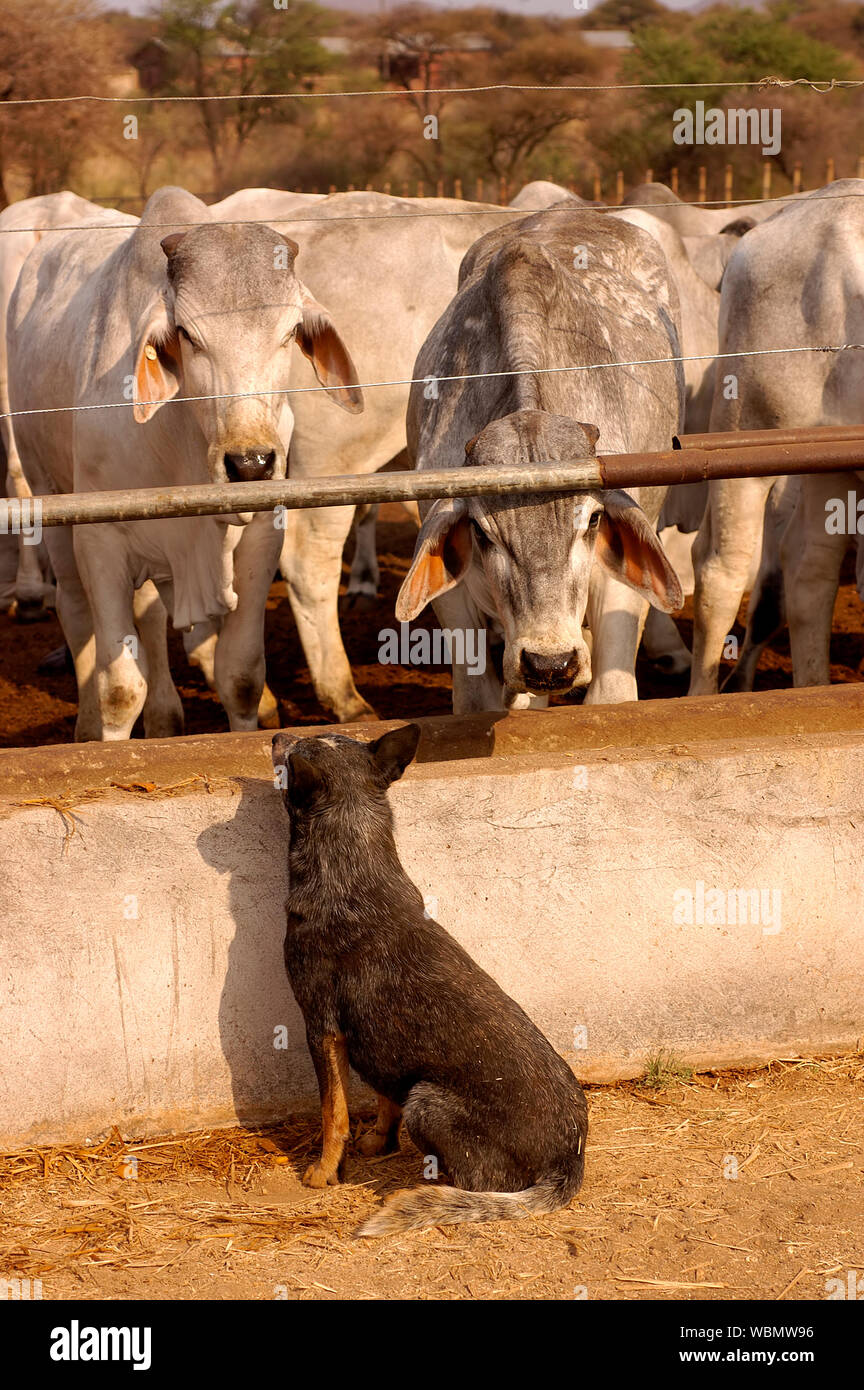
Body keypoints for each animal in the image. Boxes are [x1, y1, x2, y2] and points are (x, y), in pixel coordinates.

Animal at [8, 185, 361, 741]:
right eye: (188, 335)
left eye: (289, 333)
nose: (251, 463)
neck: (182, 441)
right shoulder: (100, 542)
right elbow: (119, 690)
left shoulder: (261, 535)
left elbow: (241, 675)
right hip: (48, 496)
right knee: (73, 608)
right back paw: (86, 726)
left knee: (151, 618)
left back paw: (166, 721)